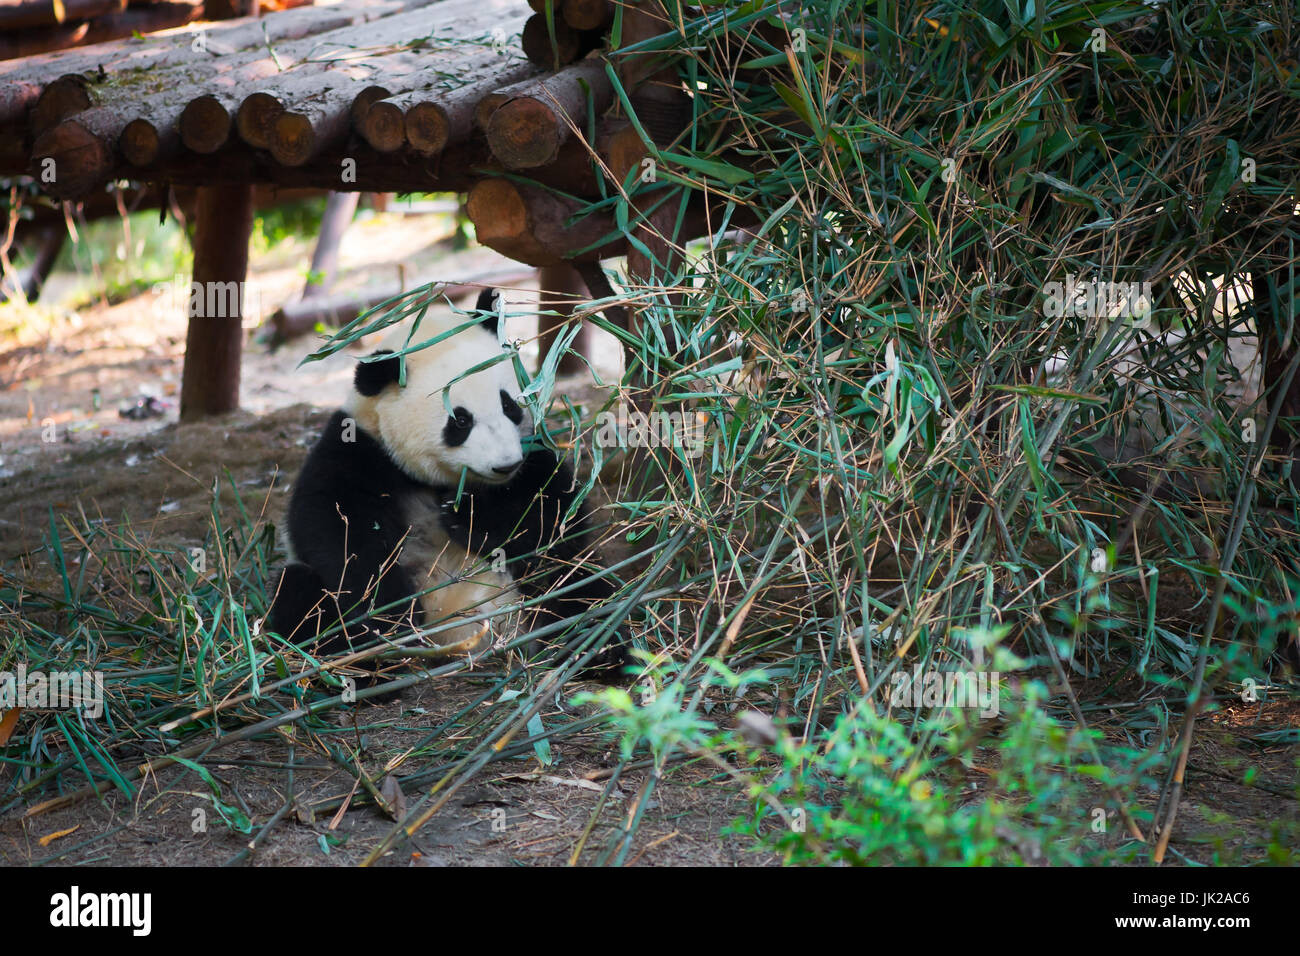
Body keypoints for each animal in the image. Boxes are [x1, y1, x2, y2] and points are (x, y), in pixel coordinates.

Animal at [267, 289, 628, 681]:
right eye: (460, 420)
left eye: (508, 404)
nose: (506, 464)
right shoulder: (357, 449)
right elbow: (338, 533)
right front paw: (389, 620)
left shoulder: (533, 453)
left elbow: (555, 515)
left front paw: (467, 514)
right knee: (301, 596)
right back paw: (371, 665)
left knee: (577, 584)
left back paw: (600, 651)